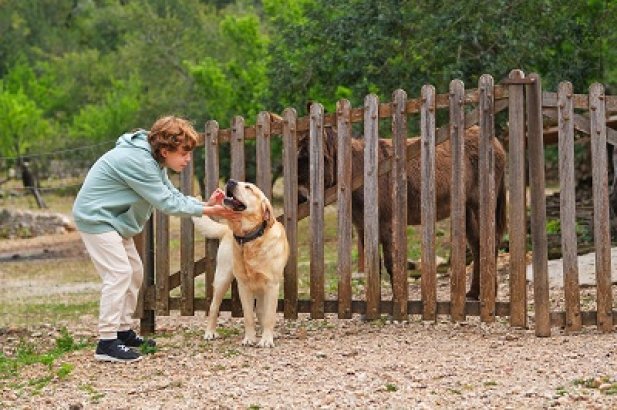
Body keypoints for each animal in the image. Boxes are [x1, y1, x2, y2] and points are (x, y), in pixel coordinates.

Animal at [192, 179, 288, 346]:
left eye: (248, 187)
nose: (231, 181)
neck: (250, 239)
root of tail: (227, 229)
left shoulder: (272, 285)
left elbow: (269, 316)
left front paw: (266, 339)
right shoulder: (244, 286)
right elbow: (248, 316)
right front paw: (249, 339)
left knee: (262, 311)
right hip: (222, 279)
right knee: (213, 307)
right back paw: (210, 332)